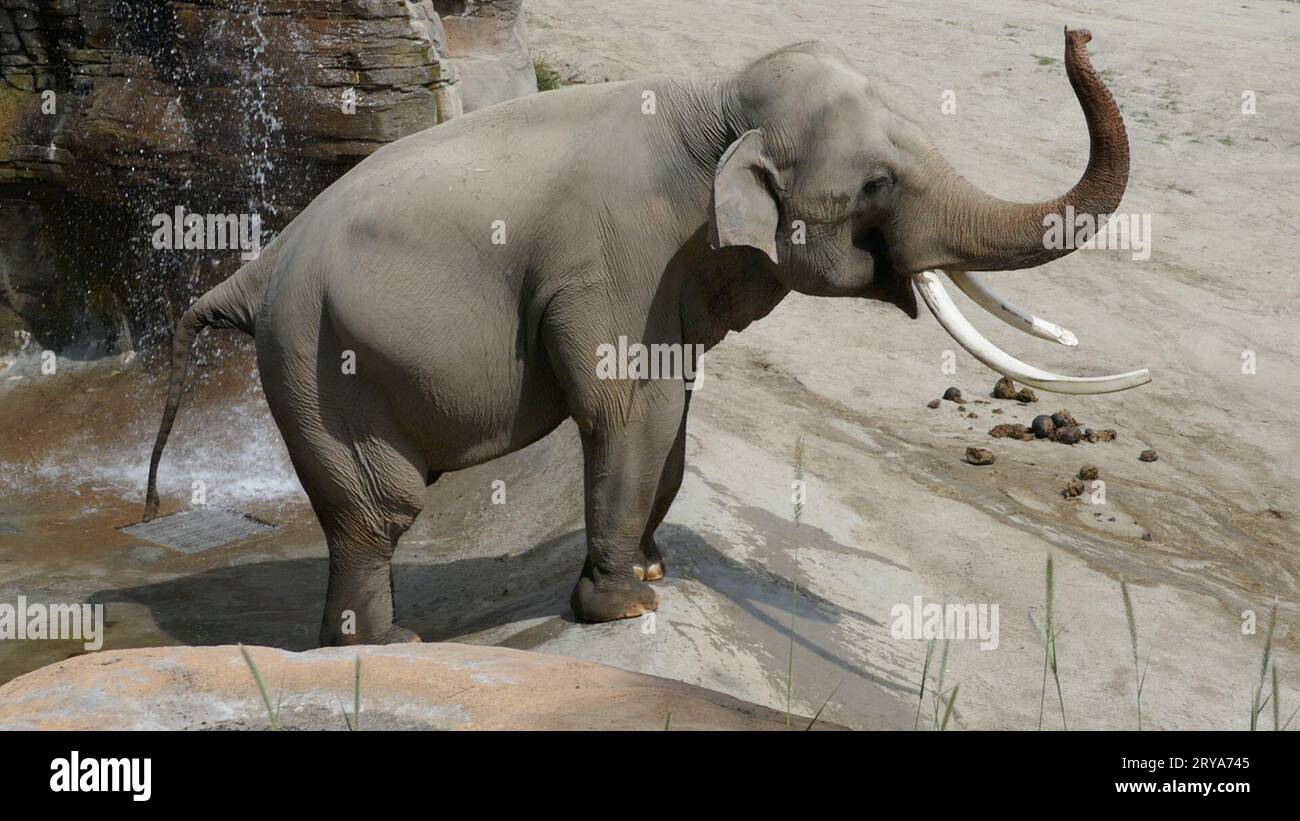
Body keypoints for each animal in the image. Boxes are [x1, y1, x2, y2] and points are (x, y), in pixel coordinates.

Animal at [145, 28, 1149, 645]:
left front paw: (656, 570)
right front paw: (626, 605)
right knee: (376, 510)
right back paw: (394, 642)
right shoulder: (617, 256)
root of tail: (256, 268)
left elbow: (677, 407)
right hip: (316, 363)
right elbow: (635, 405)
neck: (718, 104)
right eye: (875, 186)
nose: (1079, 35)